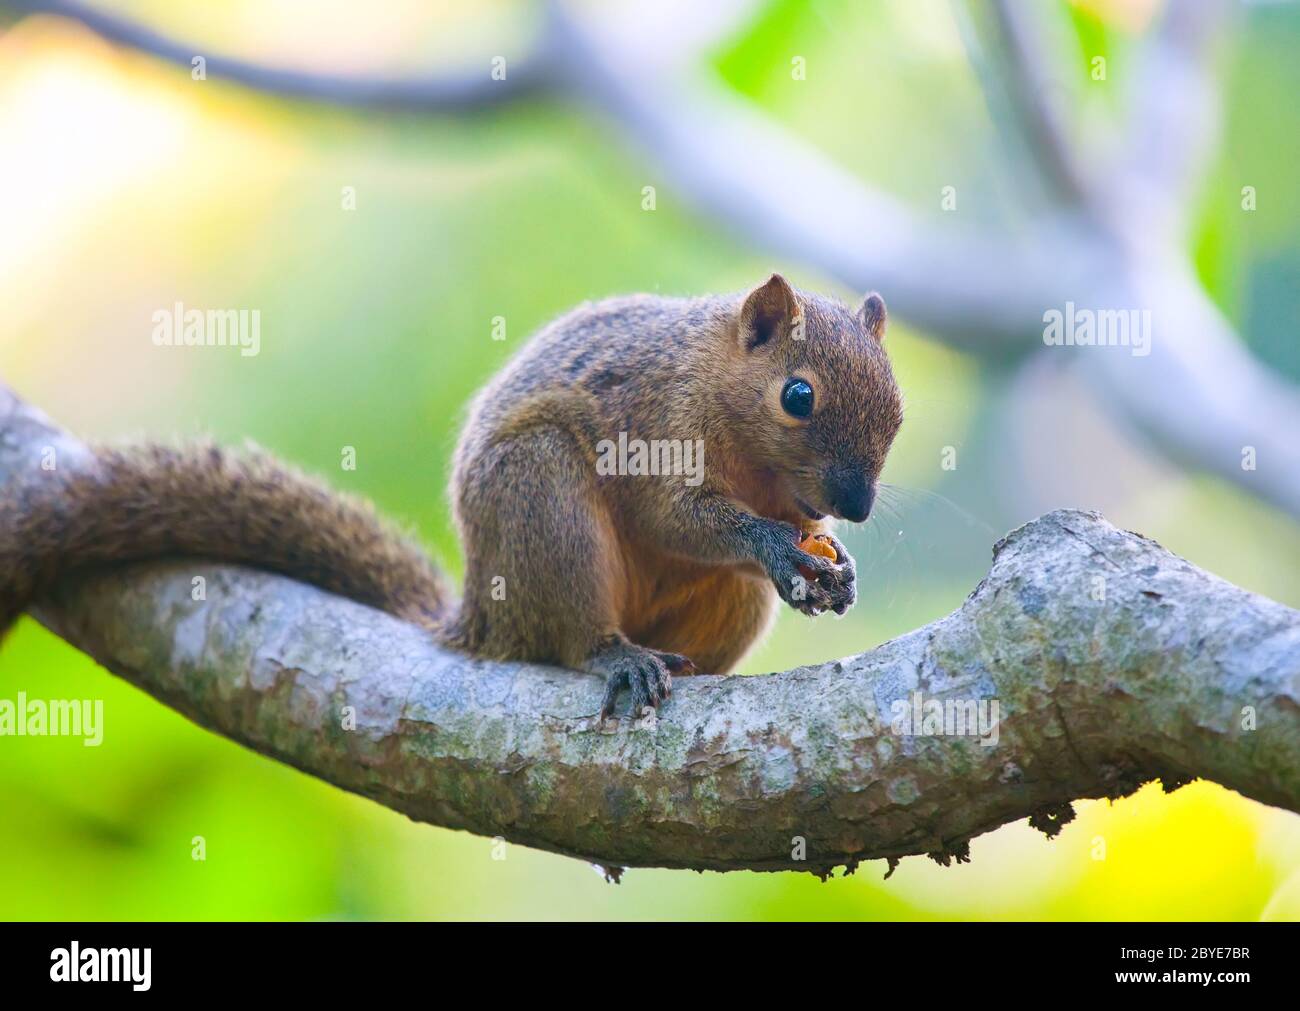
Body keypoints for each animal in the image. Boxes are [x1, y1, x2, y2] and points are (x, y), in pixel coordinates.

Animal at [0, 273, 902, 718]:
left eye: (895, 408)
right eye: (796, 396)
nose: (858, 507)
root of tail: (483, 618)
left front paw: (833, 560)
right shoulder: (655, 422)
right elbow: (676, 516)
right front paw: (773, 544)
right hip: (539, 496)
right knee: (569, 640)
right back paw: (615, 655)